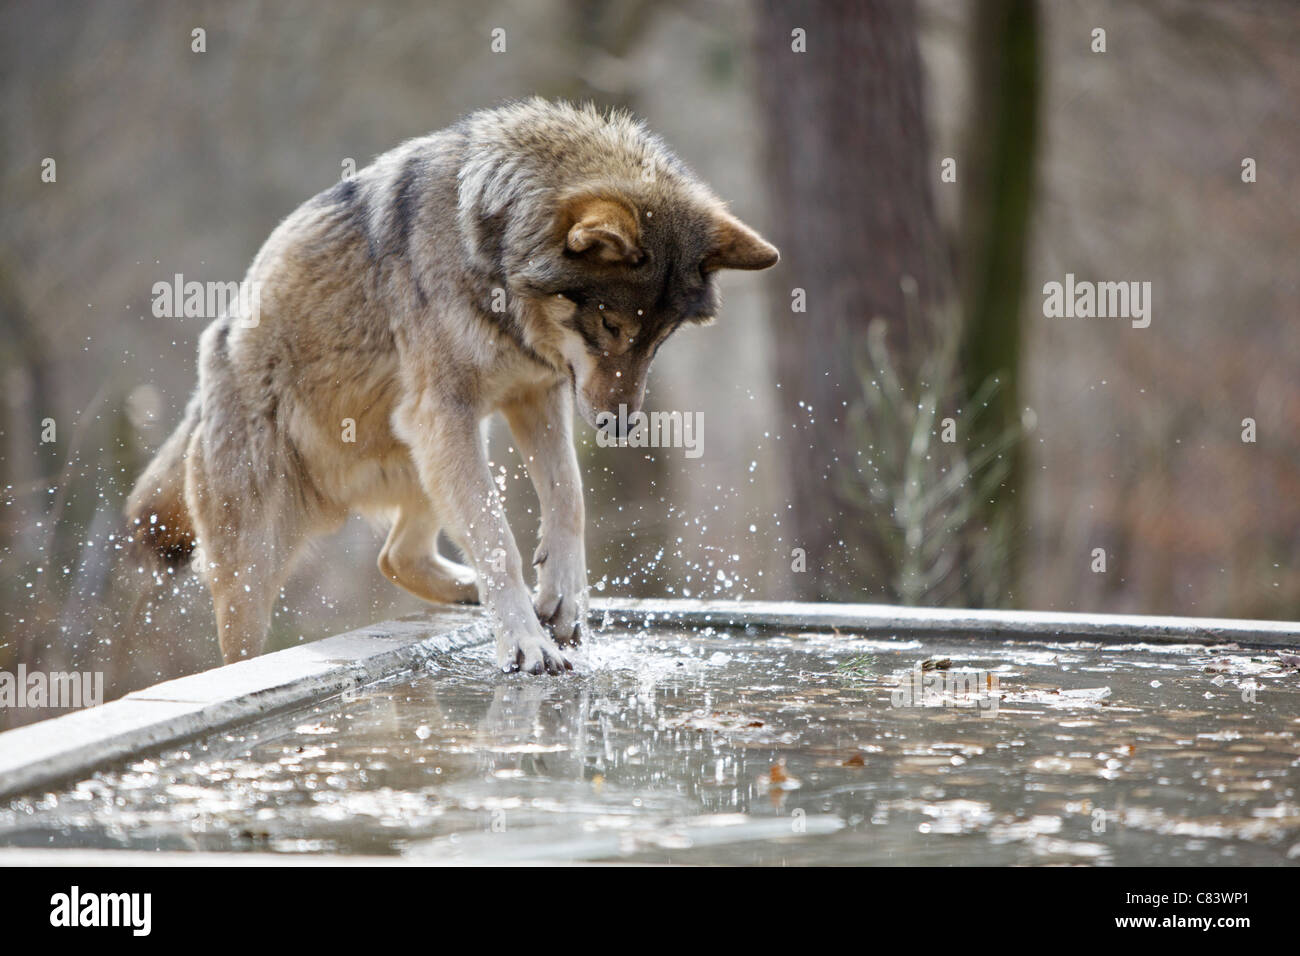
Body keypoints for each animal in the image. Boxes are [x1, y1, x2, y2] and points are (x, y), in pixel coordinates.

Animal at [125, 99, 778, 674]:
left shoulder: (533, 397)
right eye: (611, 326)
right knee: (249, 646)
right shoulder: (447, 410)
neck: (492, 245)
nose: (621, 426)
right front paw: (525, 644)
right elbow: (497, 539)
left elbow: (569, 497)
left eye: (660, 338)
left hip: (431, 455)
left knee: (394, 558)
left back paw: (471, 592)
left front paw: (563, 598)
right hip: (263, 563)